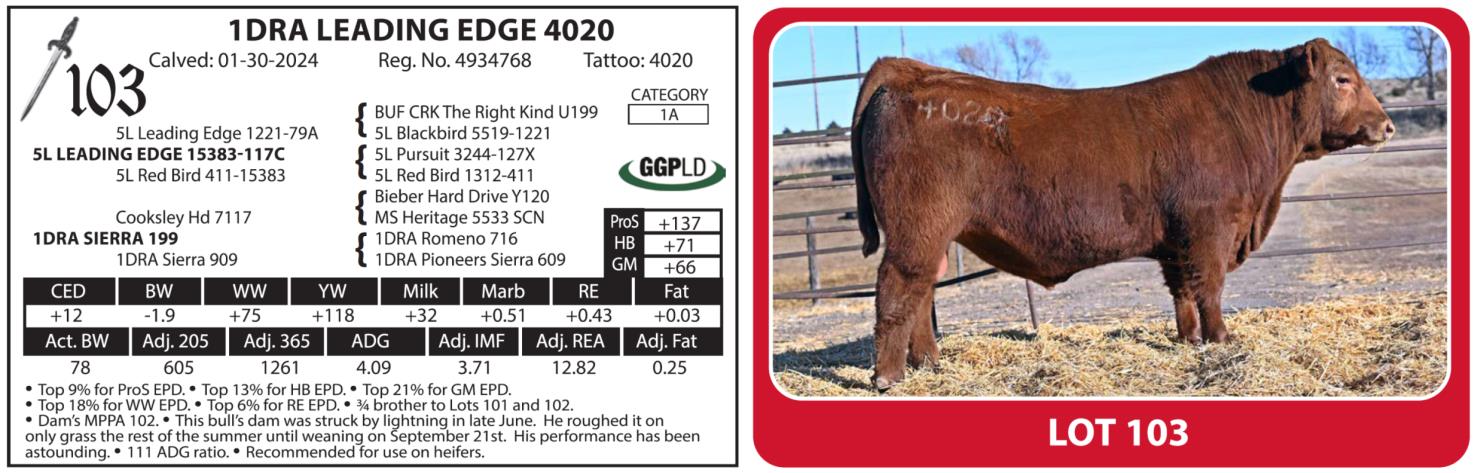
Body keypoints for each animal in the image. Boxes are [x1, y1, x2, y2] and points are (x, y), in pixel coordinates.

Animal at [850, 39, 1395, 390]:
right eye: (1343, 79)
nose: (1387, 126)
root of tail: (910, 72)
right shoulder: (1210, 229)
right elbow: (1210, 287)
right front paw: (1221, 339)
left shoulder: (1177, 240)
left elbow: (1182, 291)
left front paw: (1189, 340)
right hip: (917, 230)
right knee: (898, 289)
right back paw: (889, 377)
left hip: (932, 235)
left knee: (923, 292)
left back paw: (930, 364)